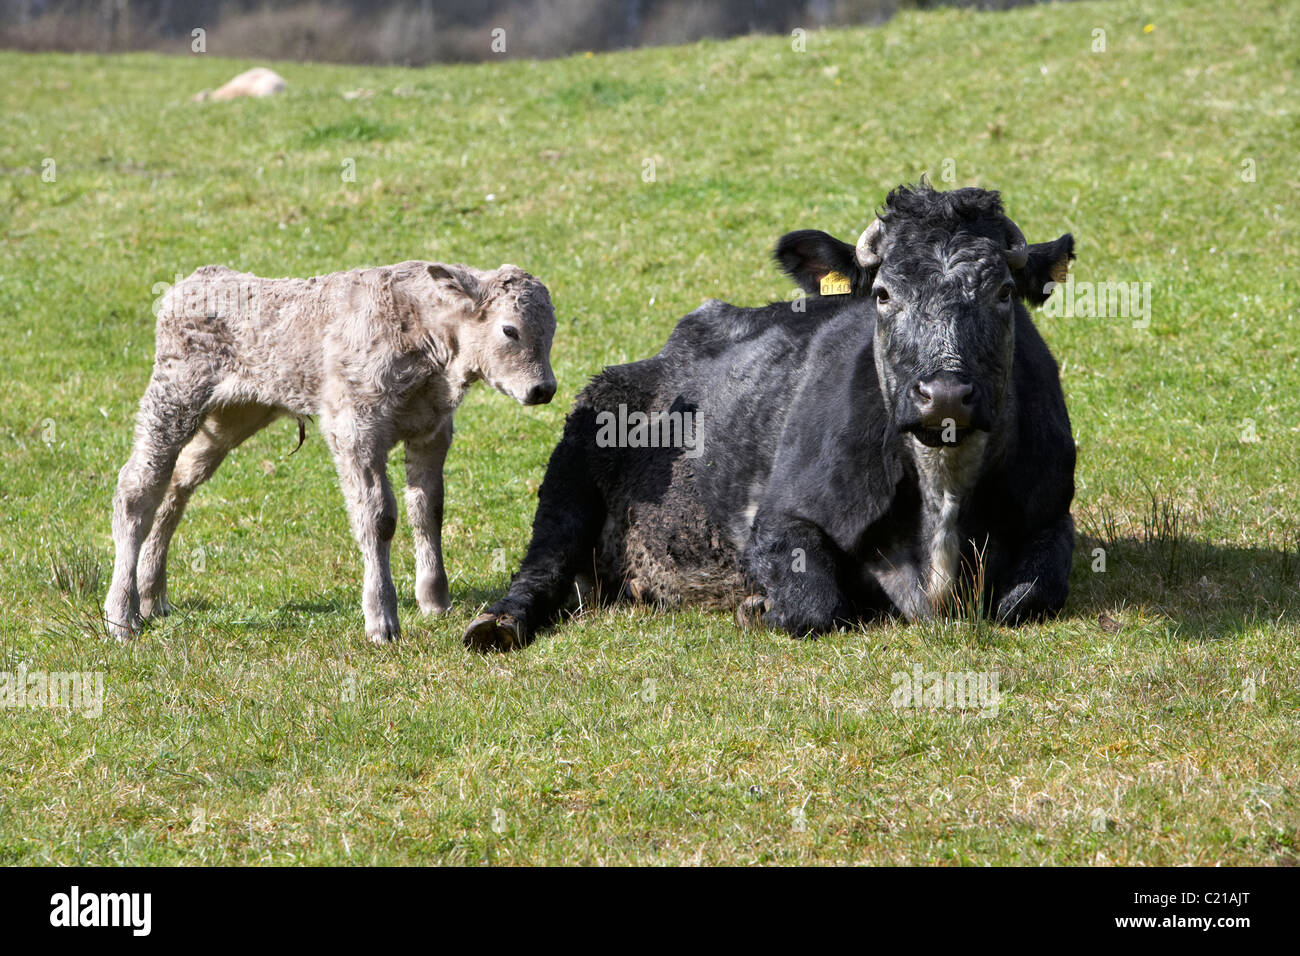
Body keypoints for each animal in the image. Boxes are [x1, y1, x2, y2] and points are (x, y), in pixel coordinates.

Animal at [104, 260, 557, 644]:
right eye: (510, 330)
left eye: (551, 331)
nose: (544, 388)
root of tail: (197, 280)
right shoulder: (356, 429)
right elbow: (378, 517)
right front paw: (382, 619)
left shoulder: (432, 432)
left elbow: (428, 509)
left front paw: (435, 600)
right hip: (174, 395)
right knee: (138, 488)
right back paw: (122, 614)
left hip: (233, 416)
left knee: (177, 483)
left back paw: (153, 596)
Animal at [463, 184, 1076, 651]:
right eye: (882, 294)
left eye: (1003, 292)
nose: (944, 393)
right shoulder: (779, 517)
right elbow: (815, 604)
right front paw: (759, 607)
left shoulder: (1052, 514)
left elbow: (1026, 598)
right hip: (577, 454)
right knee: (544, 560)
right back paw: (498, 623)